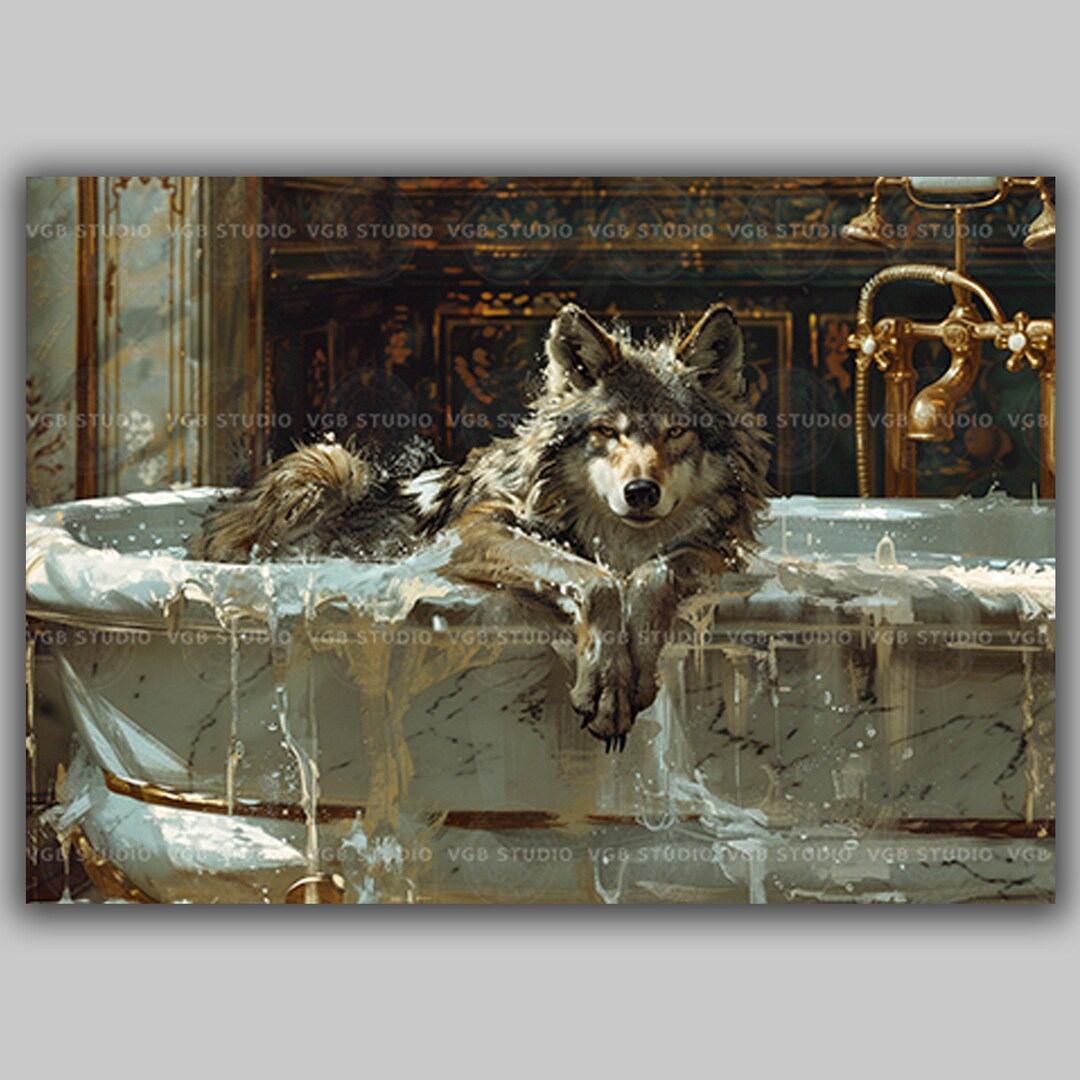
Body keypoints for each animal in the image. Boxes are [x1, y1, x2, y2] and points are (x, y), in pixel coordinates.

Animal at [192, 303, 771, 750]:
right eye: (608, 431)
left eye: (677, 432)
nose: (641, 492)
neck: (619, 543)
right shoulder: (470, 533)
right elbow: (595, 581)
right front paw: (607, 683)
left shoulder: (716, 550)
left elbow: (656, 573)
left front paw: (638, 662)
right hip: (326, 464)